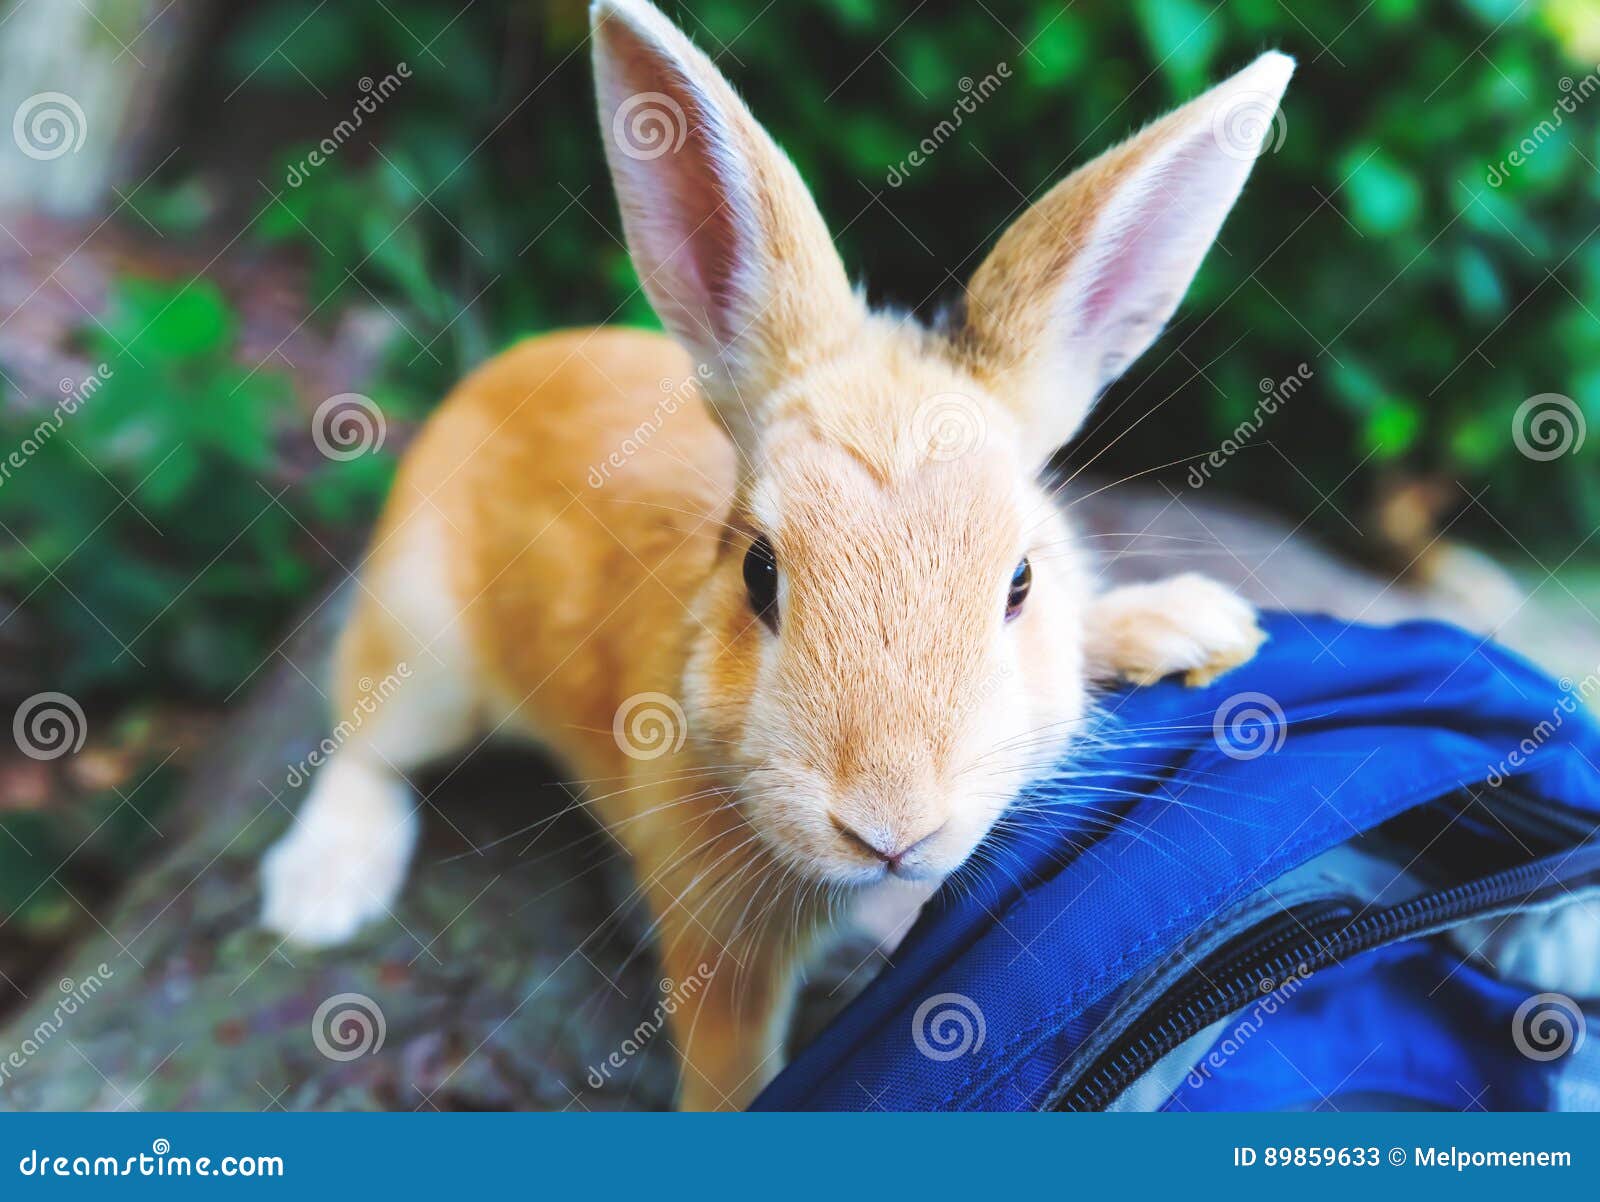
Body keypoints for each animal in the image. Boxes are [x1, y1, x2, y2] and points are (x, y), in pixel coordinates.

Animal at [260, 0, 1289, 1109]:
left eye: (1019, 580)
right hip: (426, 650)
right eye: (760, 572)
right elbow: (732, 1062)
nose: (890, 827)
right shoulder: (722, 946)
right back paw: (321, 891)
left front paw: (1197, 625)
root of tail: (482, 383)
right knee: (363, 737)